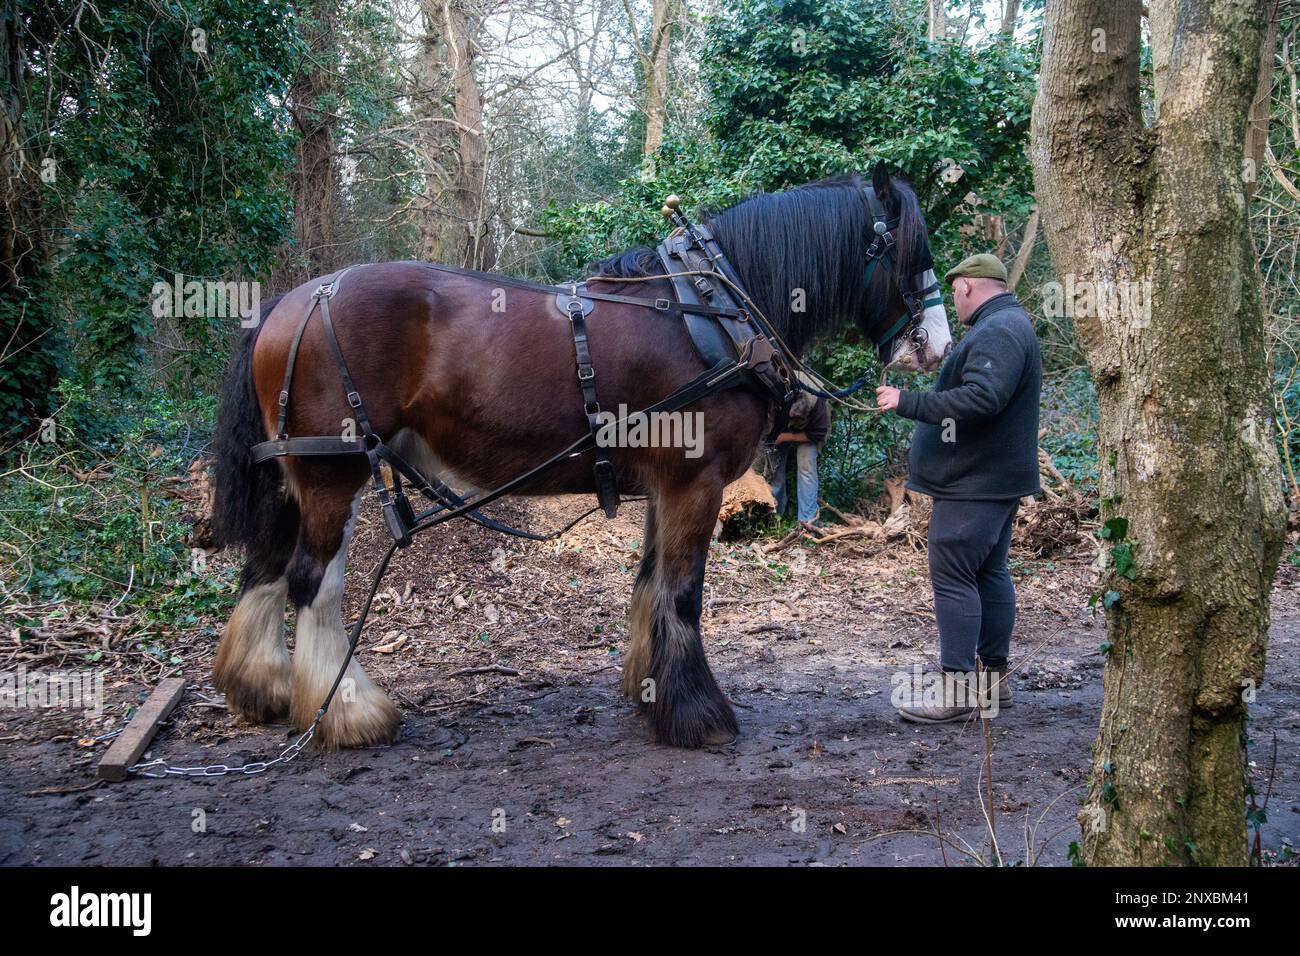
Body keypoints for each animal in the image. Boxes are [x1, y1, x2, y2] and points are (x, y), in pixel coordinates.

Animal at [210, 164, 952, 751]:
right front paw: (697, 715)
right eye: (909, 249)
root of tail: (289, 303)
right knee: (313, 583)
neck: (712, 309)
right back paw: (349, 713)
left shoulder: (666, 484)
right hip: (334, 475)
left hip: (298, 479)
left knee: (266, 570)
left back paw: (264, 689)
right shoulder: (698, 480)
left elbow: (650, 583)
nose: (939, 345)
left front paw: (652, 691)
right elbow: (683, 594)